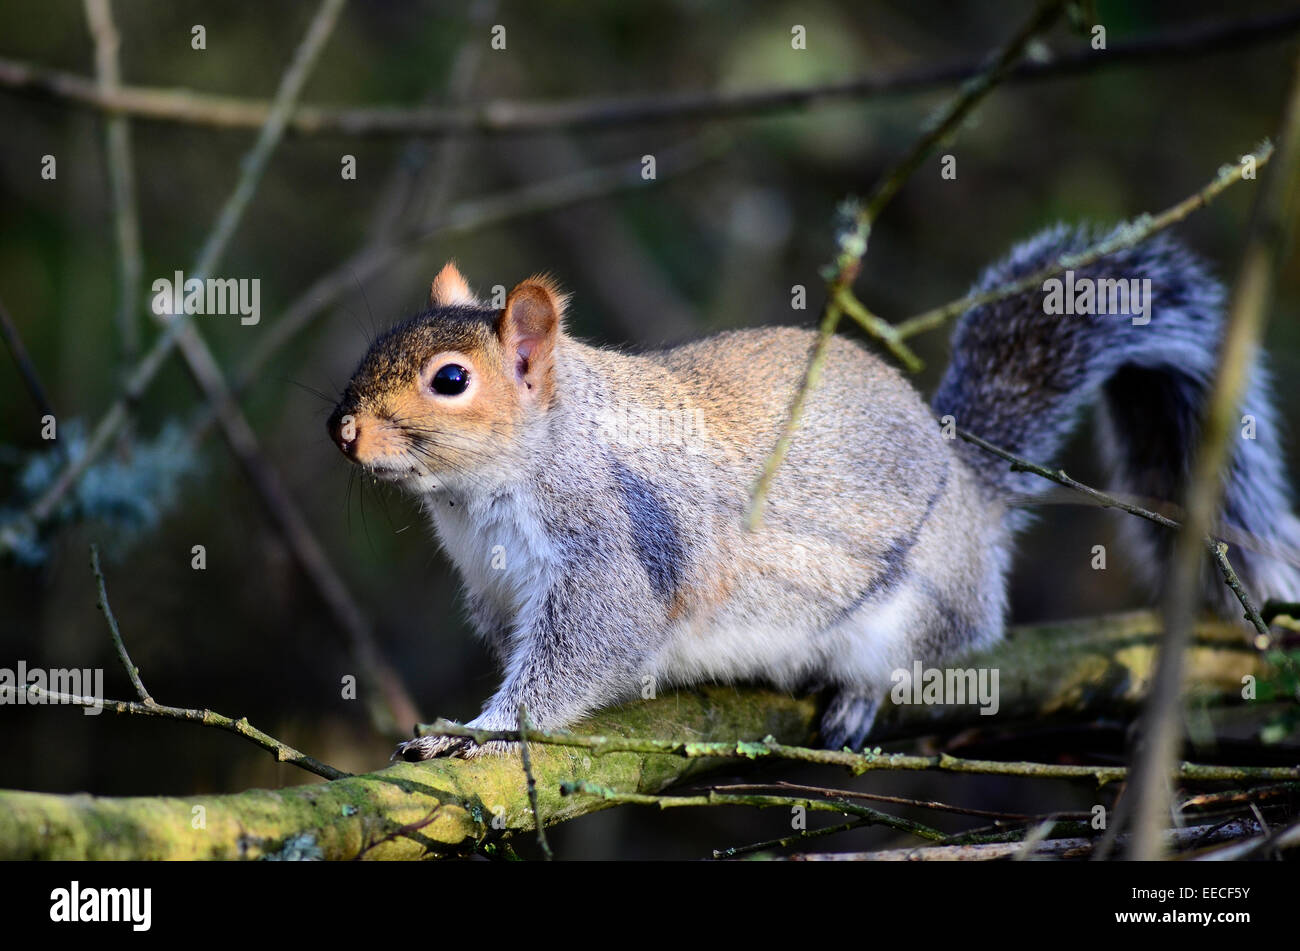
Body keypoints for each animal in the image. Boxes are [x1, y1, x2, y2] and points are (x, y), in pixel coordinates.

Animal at [327, 225, 1300, 760]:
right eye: (376, 341)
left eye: (452, 380)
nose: (343, 430)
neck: (482, 494)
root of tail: (969, 493)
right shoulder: (494, 584)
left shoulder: (614, 541)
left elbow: (591, 645)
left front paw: (479, 730)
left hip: (916, 602)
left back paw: (861, 691)